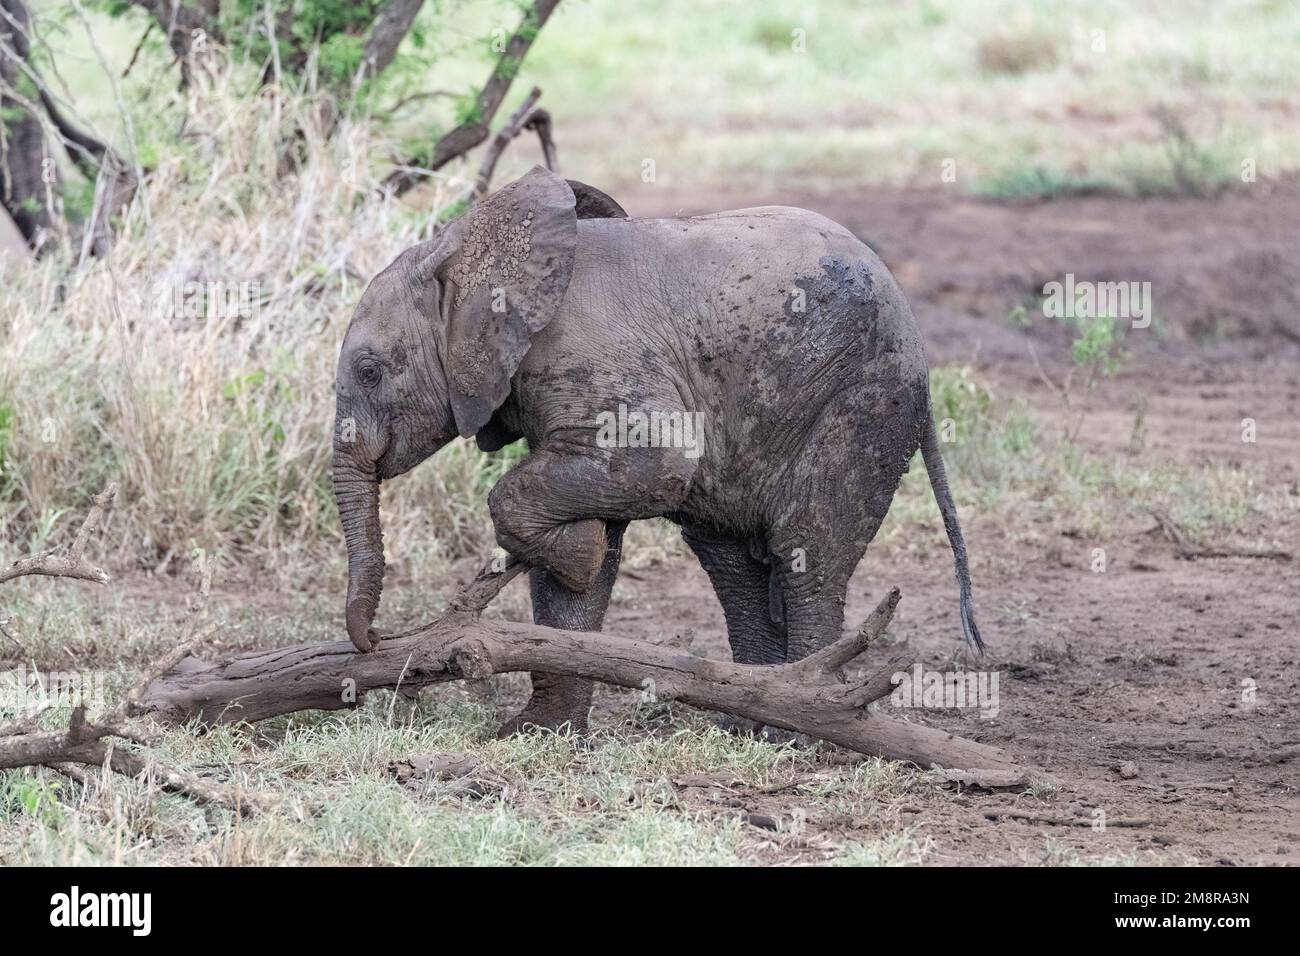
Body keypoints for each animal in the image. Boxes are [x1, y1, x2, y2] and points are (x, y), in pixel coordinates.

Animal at [332, 165, 982, 735]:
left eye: (369, 371)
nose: (372, 641)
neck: (473, 253)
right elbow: (583, 559)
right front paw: (539, 731)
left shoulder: (592, 362)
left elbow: (656, 464)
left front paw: (578, 550)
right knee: (734, 565)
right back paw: (745, 727)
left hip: (862, 397)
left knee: (810, 553)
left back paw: (800, 726)